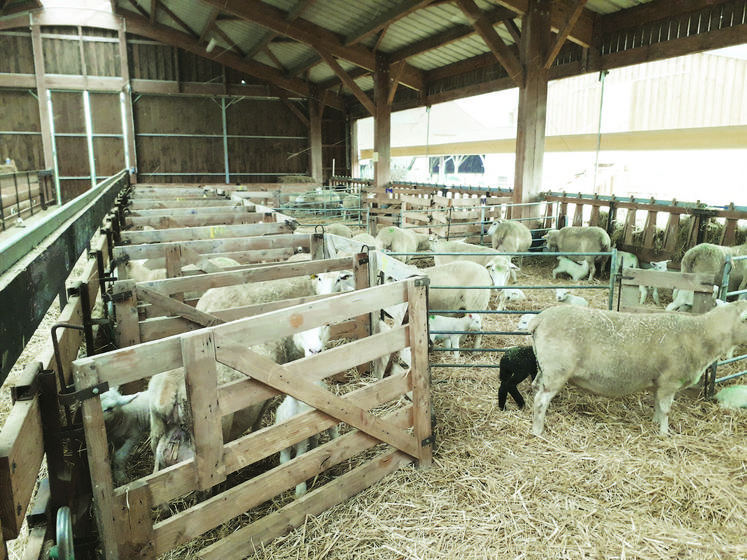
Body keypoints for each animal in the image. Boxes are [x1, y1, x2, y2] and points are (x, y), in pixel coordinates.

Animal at [528, 300, 747, 436]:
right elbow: (666, 410)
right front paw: (664, 434)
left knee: (535, 388)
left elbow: (658, 406)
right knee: (540, 400)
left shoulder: (660, 383)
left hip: (544, 368)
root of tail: (540, 319)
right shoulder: (670, 381)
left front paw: (655, 424)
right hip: (557, 370)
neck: (701, 335)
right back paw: (538, 430)